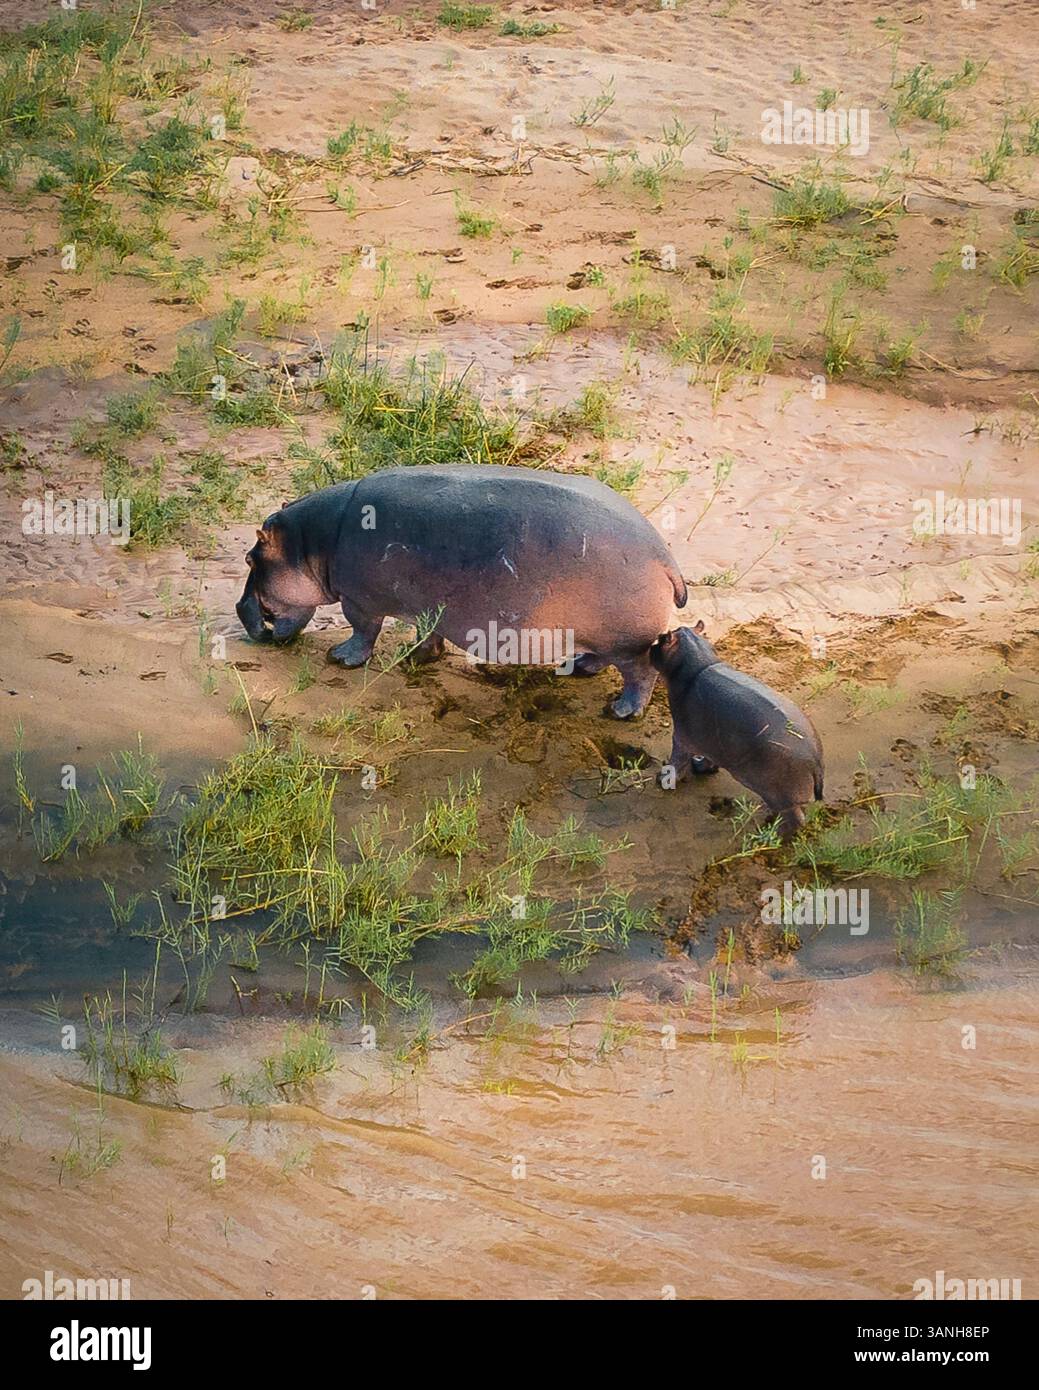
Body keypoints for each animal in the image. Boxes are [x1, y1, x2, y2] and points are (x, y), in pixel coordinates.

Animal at [236, 464, 687, 718]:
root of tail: (664, 556)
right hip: (603, 635)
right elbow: (427, 633)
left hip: (628, 642)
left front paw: (340, 658)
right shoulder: (427, 605)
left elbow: (363, 631)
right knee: (602, 657)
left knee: (640, 673)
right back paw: (578, 666)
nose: (240, 609)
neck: (311, 543)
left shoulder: (359, 601)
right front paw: (415, 657)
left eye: (249, 559)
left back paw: (621, 712)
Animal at [650, 622, 824, 839]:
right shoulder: (713, 740)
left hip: (779, 794)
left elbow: (677, 760)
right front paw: (701, 767)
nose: (649, 646)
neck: (698, 662)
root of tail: (816, 760)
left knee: (795, 820)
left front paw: (662, 779)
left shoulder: (681, 736)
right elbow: (708, 757)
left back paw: (770, 835)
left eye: (661, 639)